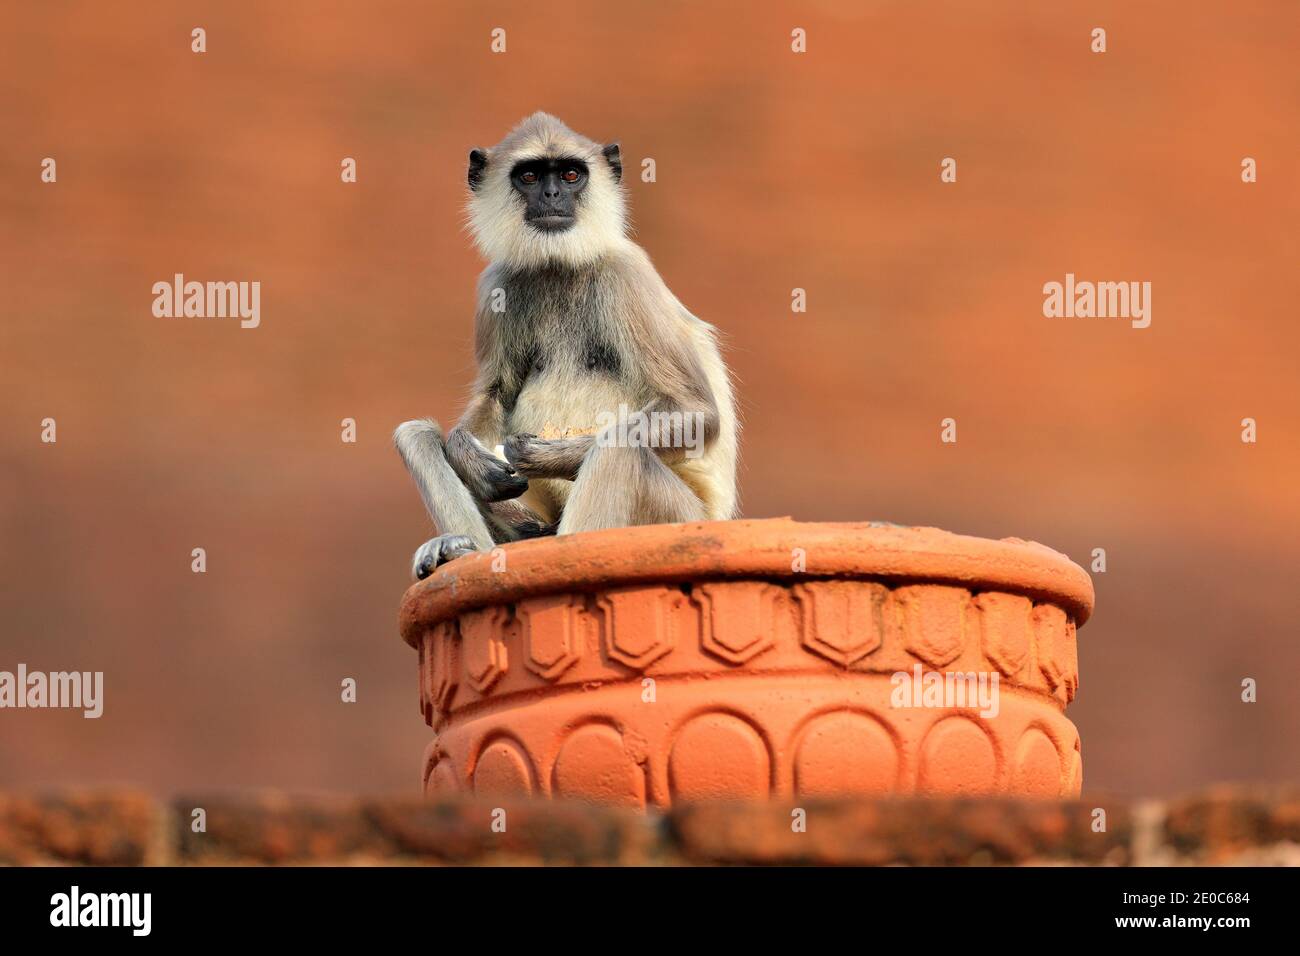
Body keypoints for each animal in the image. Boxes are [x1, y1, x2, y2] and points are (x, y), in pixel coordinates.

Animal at [394, 112, 737, 580]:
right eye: (531, 176)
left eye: (571, 175)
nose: (553, 194)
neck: (559, 265)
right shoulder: (497, 283)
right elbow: (494, 395)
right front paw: (468, 456)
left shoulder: (627, 275)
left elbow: (695, 412)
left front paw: (547, 455)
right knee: (416, 434)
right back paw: (464, 551)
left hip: (681, 520)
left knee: (618, 449)